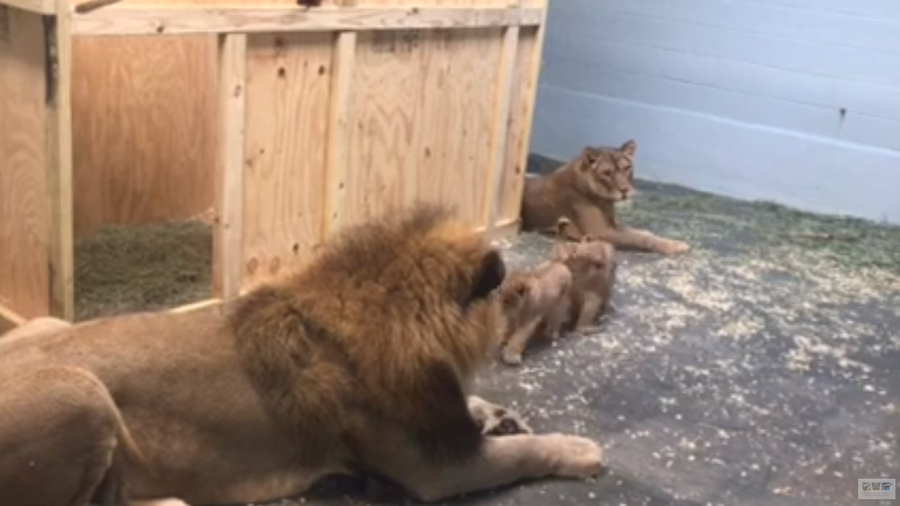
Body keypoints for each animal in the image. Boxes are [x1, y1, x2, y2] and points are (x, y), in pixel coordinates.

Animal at [0, 203, 603, 506]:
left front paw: (494, 413)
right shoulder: (433, 470)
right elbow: (523, 454)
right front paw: (581, 450)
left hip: (49, 325)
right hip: (80, 391)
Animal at [520, 140, 690, 256]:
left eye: (626, 168)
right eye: (607, 173)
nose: (625, 190)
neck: (604, 200)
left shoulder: (610, 225)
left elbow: (633, 231)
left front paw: (647, 232)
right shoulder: (599, 230)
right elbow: (638, 238)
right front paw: (675, 245)